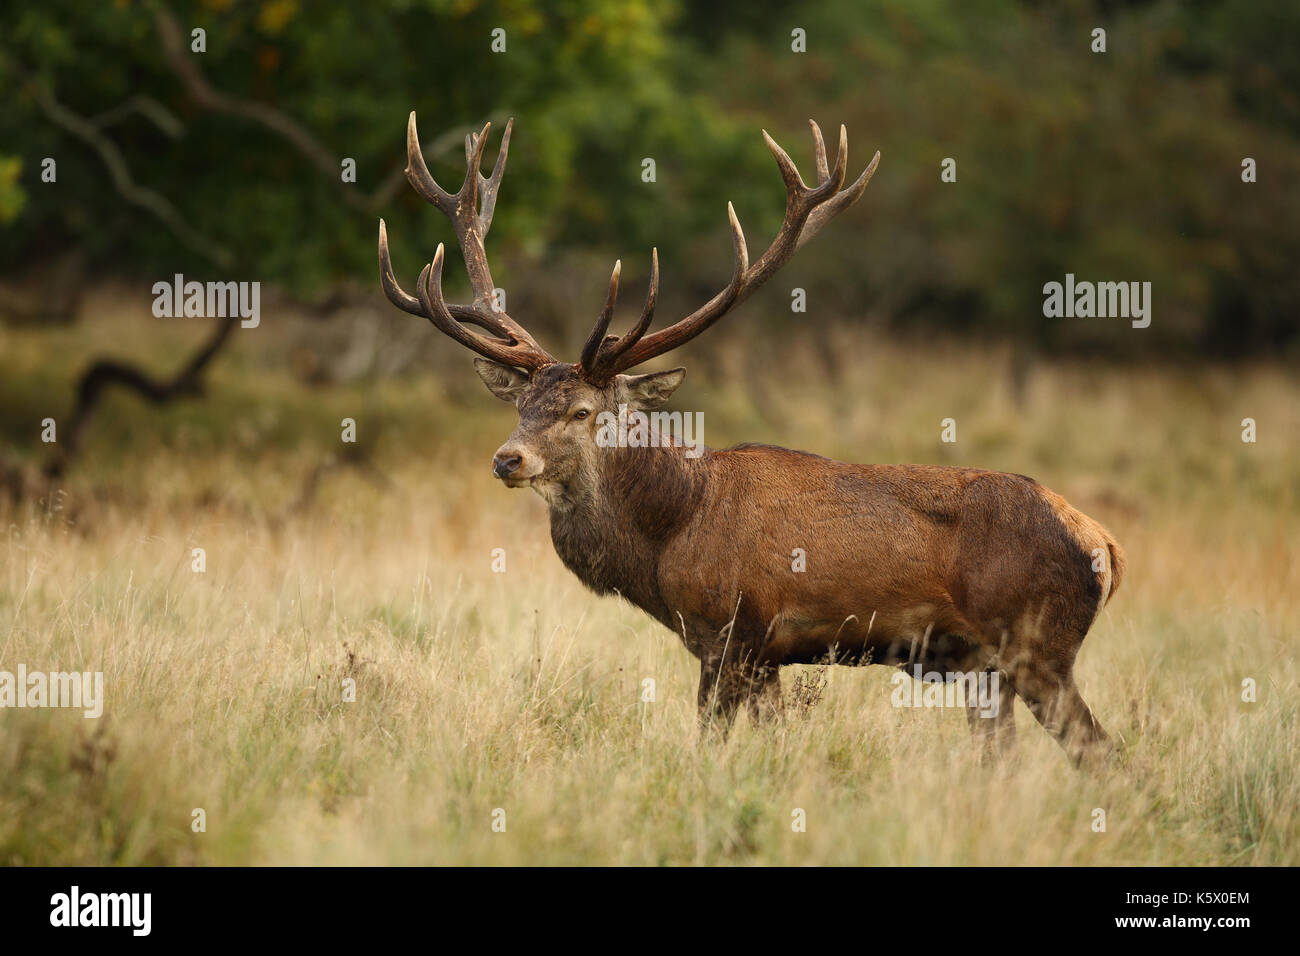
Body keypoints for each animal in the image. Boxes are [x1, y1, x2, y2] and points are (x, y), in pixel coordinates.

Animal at [378, 112, 1126, 767]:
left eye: (585, 410)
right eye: (522, 403)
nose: (509, 458)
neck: (668, 533)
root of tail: (1106, 547)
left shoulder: (734, 632)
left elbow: (711, 743)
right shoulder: (763, 653)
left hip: (1037, 645)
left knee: (1102, 753)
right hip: (985, 668)